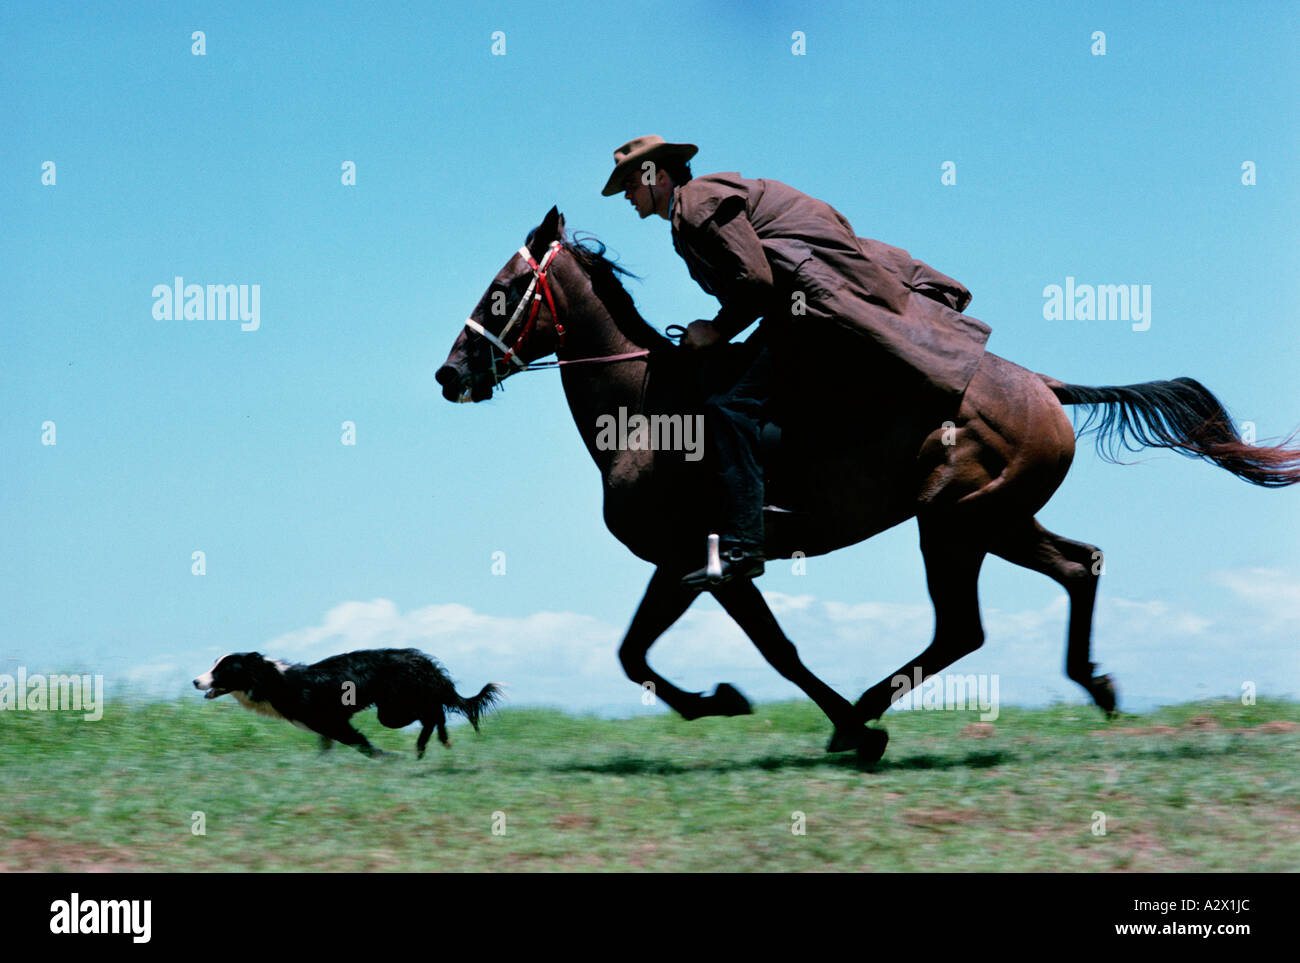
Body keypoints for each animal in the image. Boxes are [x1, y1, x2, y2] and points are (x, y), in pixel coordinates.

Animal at [435, 206, 1300, 761]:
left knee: (965, 630)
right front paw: (725, 700)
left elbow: (761, 651)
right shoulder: (681, 565)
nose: (449, 374)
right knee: (1077, 565)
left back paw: (868, 711)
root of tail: (1042, 385)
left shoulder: (713, 562)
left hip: (951, 524)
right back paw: (1096, 684)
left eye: (500, 293)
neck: (649, 410)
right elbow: (635, 652)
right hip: (996, 520)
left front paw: (768, 708)